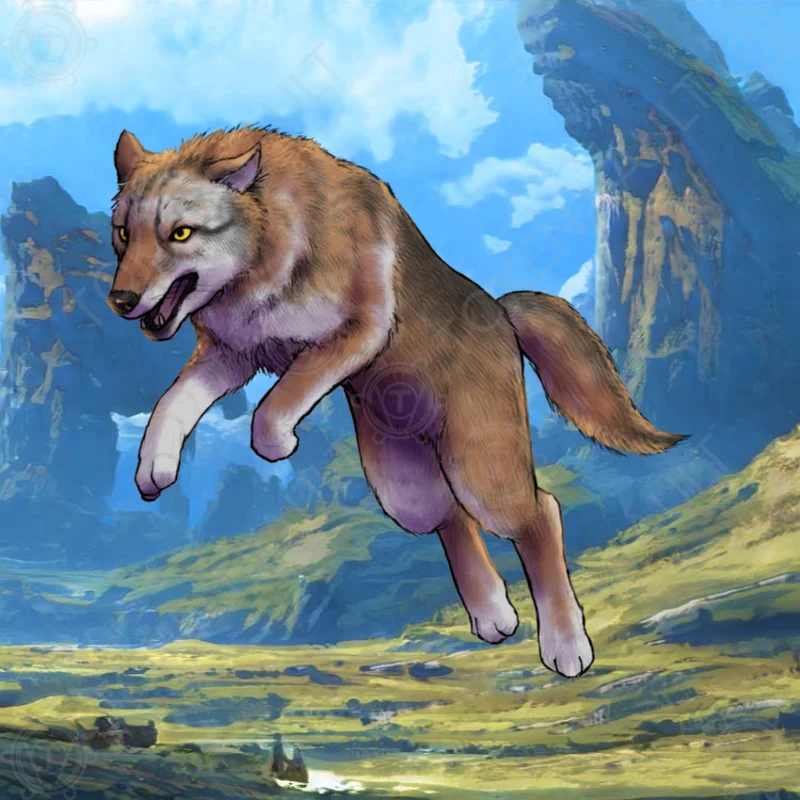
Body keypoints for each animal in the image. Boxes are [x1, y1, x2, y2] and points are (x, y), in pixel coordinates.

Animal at [108, 126, 685, 679]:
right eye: (124, 233)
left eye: (180, 233)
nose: (120, 300)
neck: (274, 246)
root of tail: (504, 313)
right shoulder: (232, 355)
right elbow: (171, 404)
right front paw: (153, 469)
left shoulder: (356, 332)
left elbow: (270, 413)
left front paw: (279, 443)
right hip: (401, 488)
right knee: (450, 517)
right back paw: (494, 615)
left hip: (480, 472)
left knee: (540, 514)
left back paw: (565, 647)